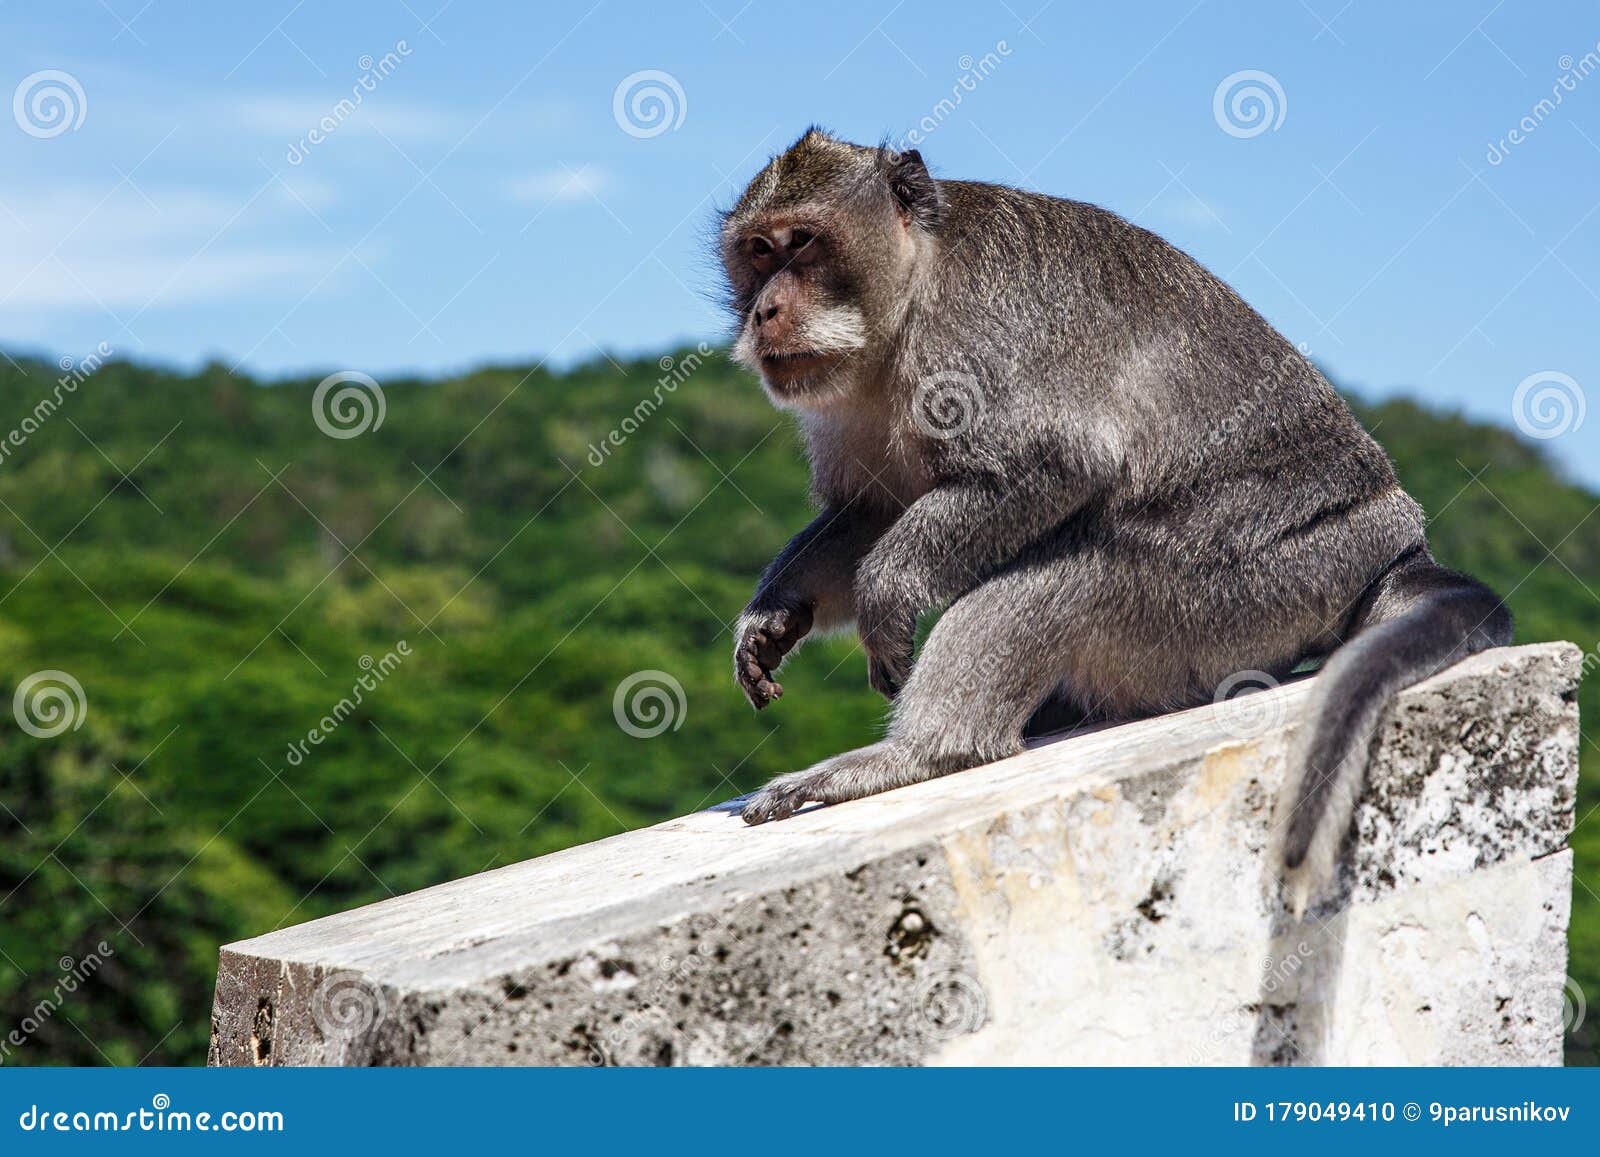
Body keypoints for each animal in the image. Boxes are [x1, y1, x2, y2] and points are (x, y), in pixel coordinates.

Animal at [719, 128, 1511, 914]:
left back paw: (921, 753)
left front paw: (888, 588)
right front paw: (775, 613)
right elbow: (869, 509)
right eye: (758, 252)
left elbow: (1055, 462)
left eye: (803, 243)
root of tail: (1393, 550)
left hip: (1253, 590)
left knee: (1057, 580)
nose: (764, 311)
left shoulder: (974, 332)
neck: (907, 302)